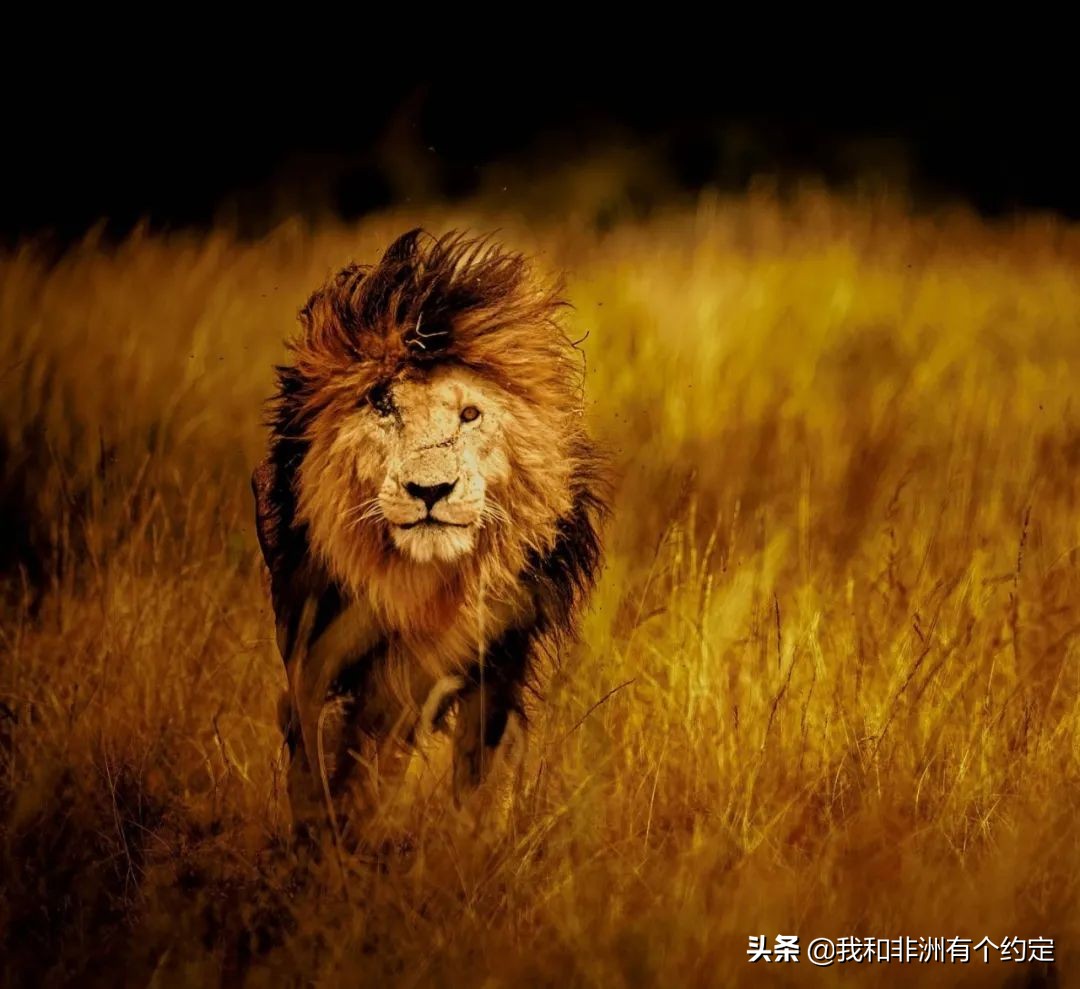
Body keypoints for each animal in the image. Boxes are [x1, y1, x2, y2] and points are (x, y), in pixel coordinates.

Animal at [251, 229, 609, 844]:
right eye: (382, 405)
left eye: (470, 414)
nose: (430, 490)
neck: (427, 586)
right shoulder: (319, 650)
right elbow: (325, 764)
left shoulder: (498, 665)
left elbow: (479, 776)